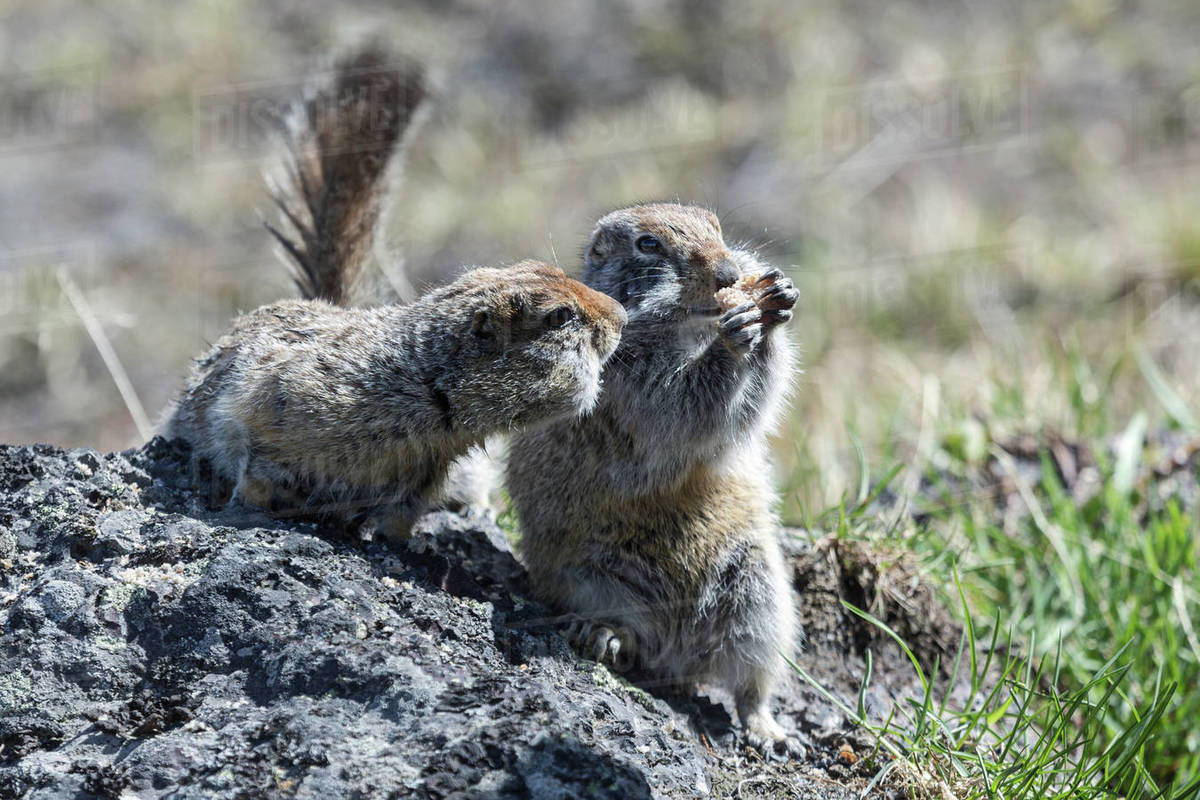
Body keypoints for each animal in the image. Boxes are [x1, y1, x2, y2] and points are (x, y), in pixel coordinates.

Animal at [162, 45, 627, 540]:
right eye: (560, 316)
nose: (621, 314)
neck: (421, 386)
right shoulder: (284, 399)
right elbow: (258, 454)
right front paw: (245, 505)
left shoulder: (428, 467)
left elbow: (403, 512)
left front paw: (400, 541)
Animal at [506, 203, 803, 756]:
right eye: (648, 244)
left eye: (717, 227)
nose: (729, 273)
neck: (686, 328)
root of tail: (678, 652)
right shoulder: (631, 377)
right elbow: (684, 406)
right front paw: (740, 331)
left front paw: (775, 297)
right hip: (592, 579)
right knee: (635, 637)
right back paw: (603, 634)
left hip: (760, 597)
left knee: (750, 684)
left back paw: (770, 732)